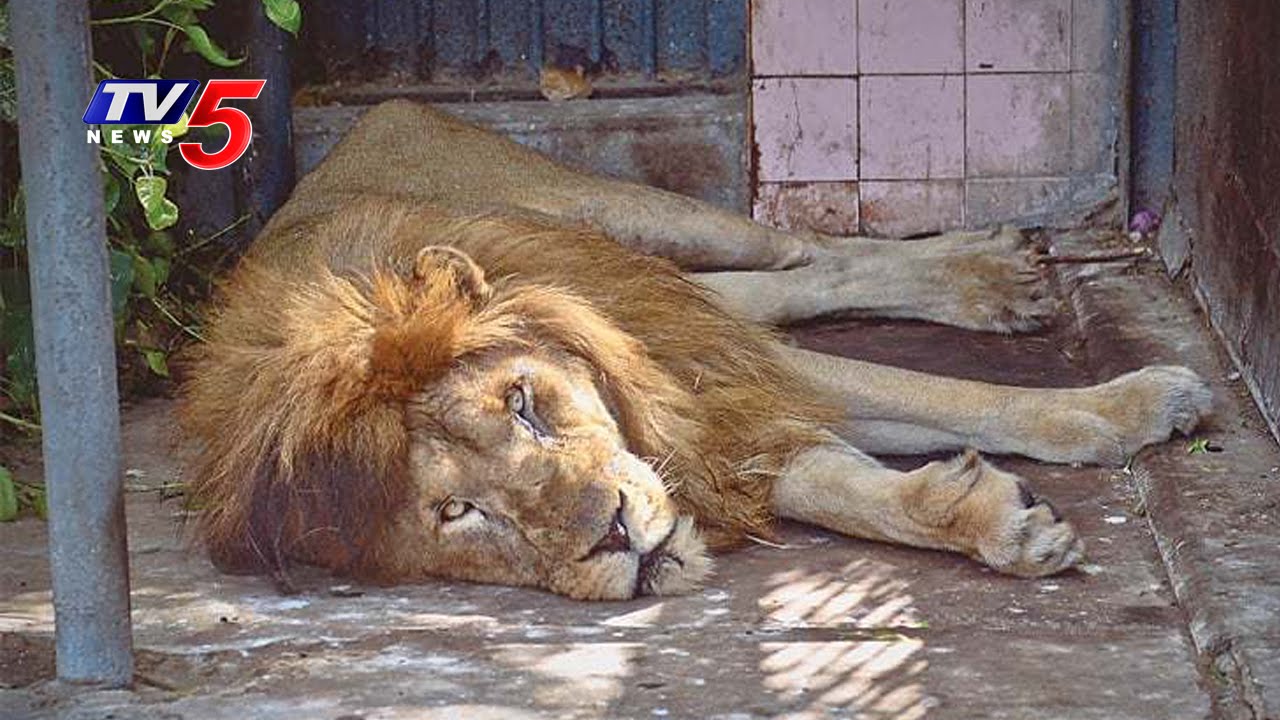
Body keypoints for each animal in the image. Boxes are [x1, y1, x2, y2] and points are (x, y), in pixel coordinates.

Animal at [183, 100, 1212, 600]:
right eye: (456, 513)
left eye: (523, 402)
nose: (613, 535)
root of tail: (348, 141)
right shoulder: (713, 412)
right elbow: (844, 487)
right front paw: (996, 522)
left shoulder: (718, 370)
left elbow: (956, 399)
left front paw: (1133, 405)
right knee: (784, 285)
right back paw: (991, 280)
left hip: (624, 214)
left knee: (797, 250)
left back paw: (991, 270)